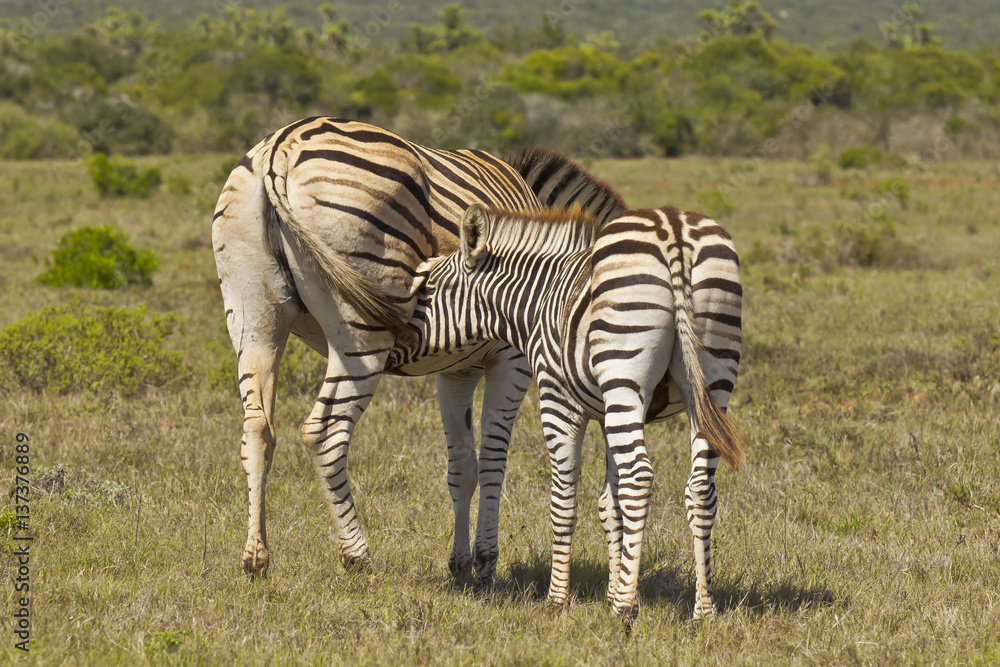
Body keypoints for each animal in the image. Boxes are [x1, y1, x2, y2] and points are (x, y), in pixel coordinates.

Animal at [212, 116, 626, 583]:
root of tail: (281, 146)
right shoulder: (513, 360)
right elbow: (493, 458)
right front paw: (486, 562)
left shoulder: (457, 369)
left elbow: (462, 463)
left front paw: (460, 563)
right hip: (361, 331)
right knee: (325, 431)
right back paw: (356, 556)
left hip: (252, 315)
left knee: (257, 429)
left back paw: (256, 556)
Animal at [393, 203, 743, 620]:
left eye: (427, 289)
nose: (384, 340)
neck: (538, 297)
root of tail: (672, 229)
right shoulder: (610, 412)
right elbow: (611, 504)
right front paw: (614, 587)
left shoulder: (558, 398)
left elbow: (563, 502)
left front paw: (560, 599)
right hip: (712, 377)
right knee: (699, 488)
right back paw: (703, 611)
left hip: (626, 368)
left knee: (640, 477)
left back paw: (625, 610)